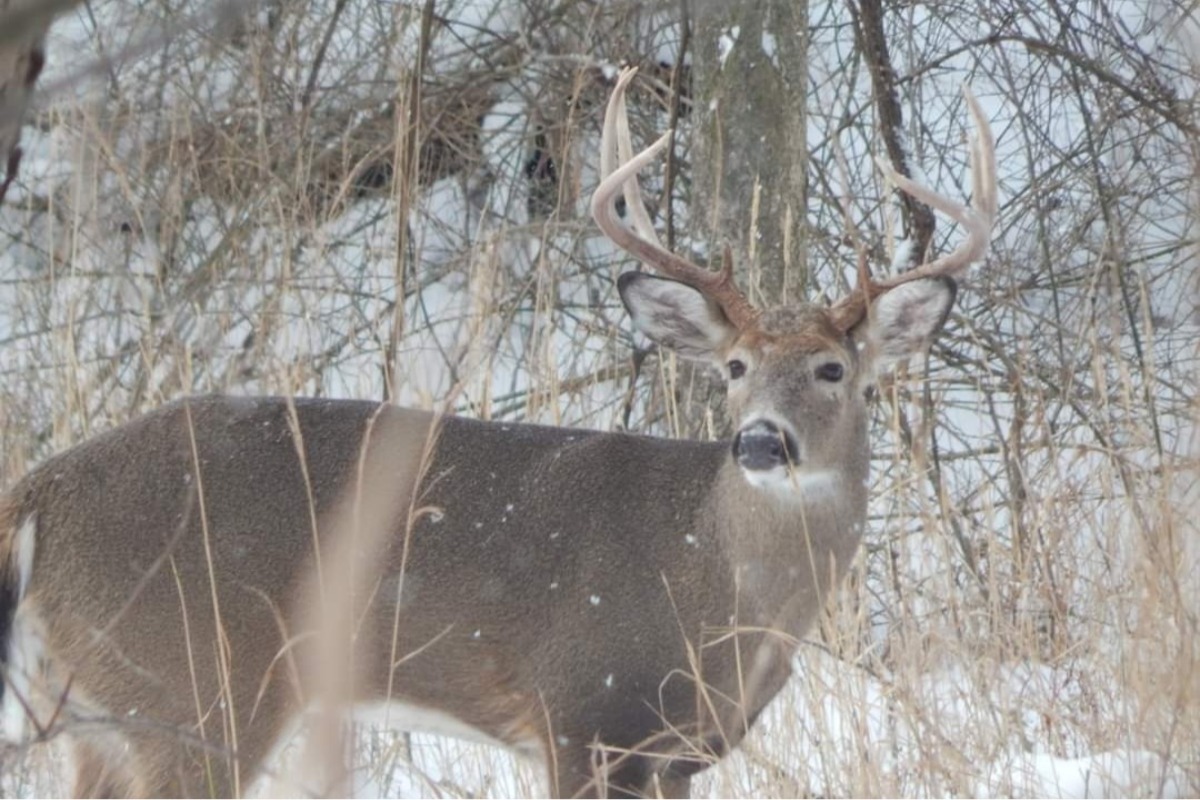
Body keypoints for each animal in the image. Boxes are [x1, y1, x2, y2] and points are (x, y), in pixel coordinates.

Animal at [0, 67, 996, 798]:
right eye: (735, 368)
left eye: (833, 370)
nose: (759, 443)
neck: (718, 591)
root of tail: (35, 493)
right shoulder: (584, 713)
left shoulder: (675, 754)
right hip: (193, 686)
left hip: (96, 708)